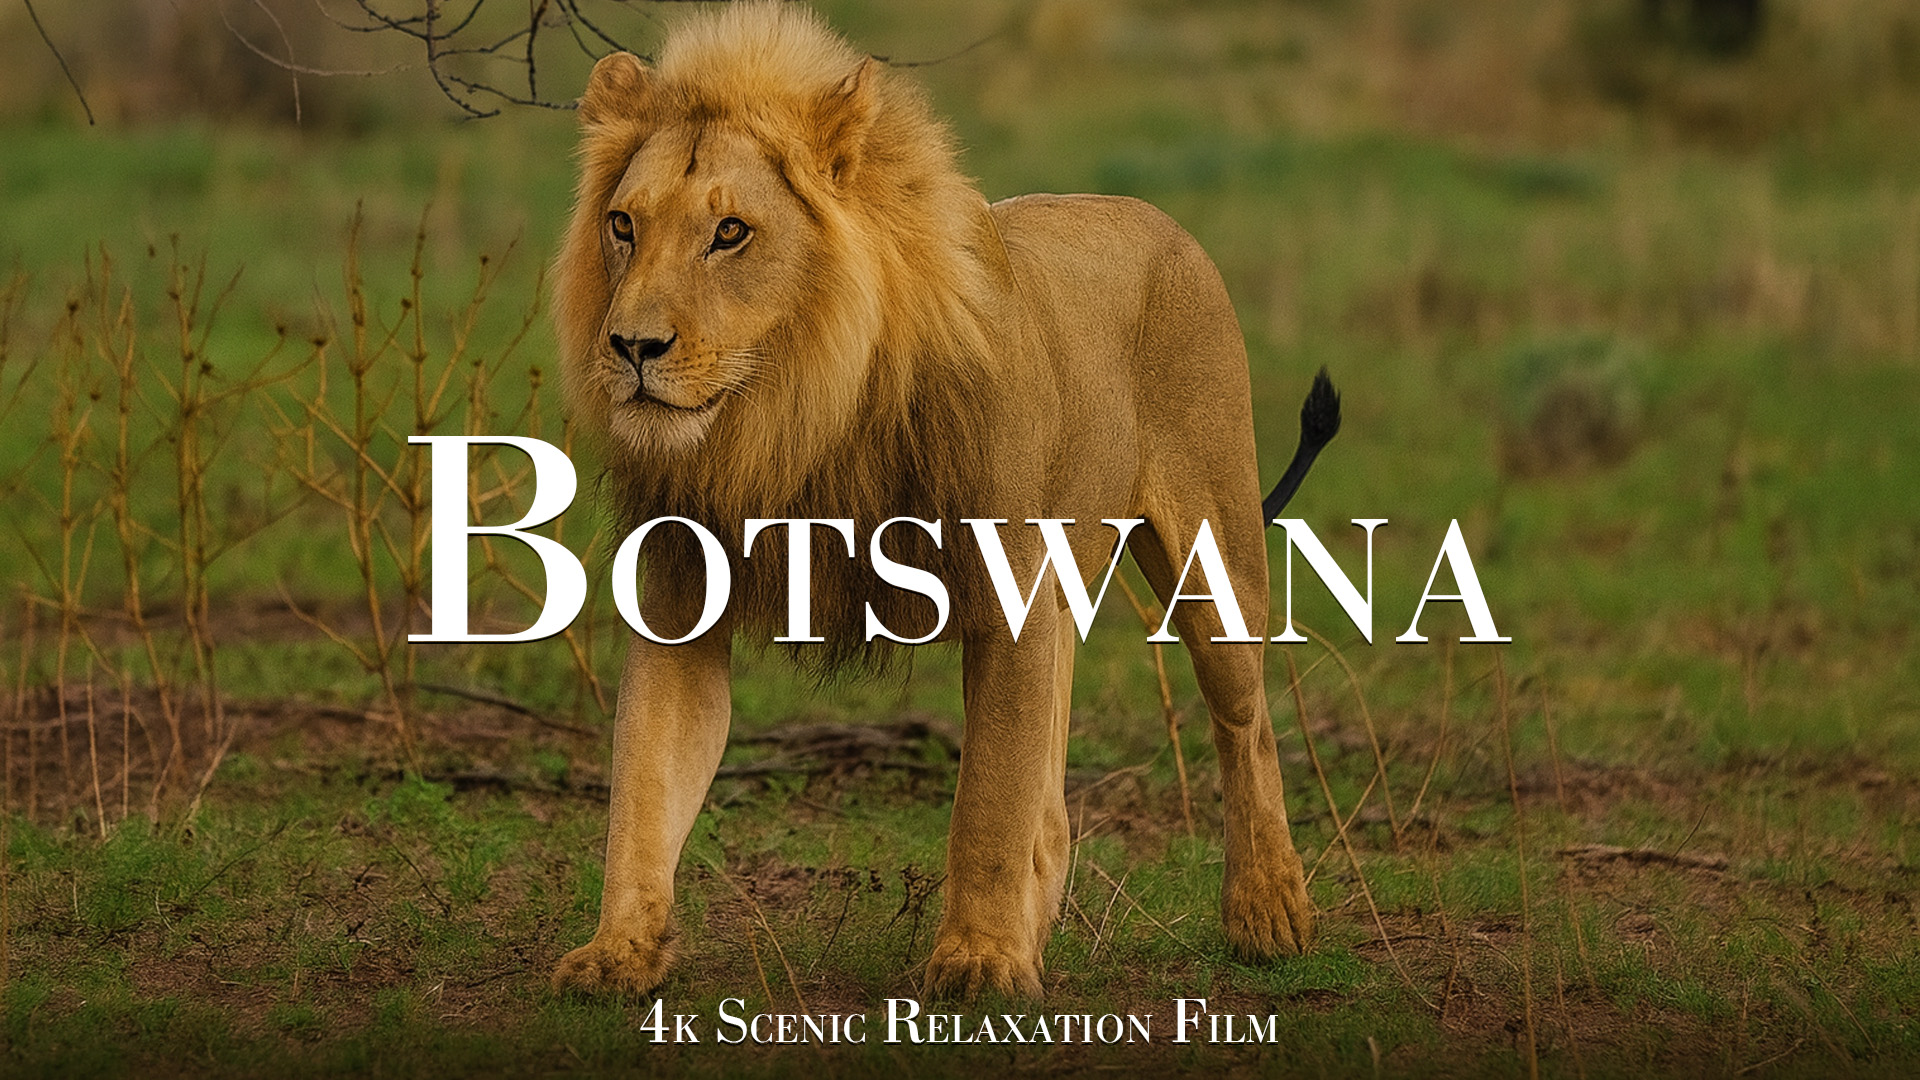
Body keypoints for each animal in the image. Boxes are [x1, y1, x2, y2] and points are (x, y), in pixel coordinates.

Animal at [550, 2, 1317, 998]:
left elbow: (987, 799)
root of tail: (1151, 214)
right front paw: (617, 952)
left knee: (1245, 720)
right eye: (622, 225)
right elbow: (643, 786)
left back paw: (1268, 913)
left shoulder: (1007, 601)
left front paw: (980, 963)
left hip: (1212, 545)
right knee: (1054, 801)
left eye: (730, 233)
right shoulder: (681, 603)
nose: (632, 347)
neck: (796, 410)